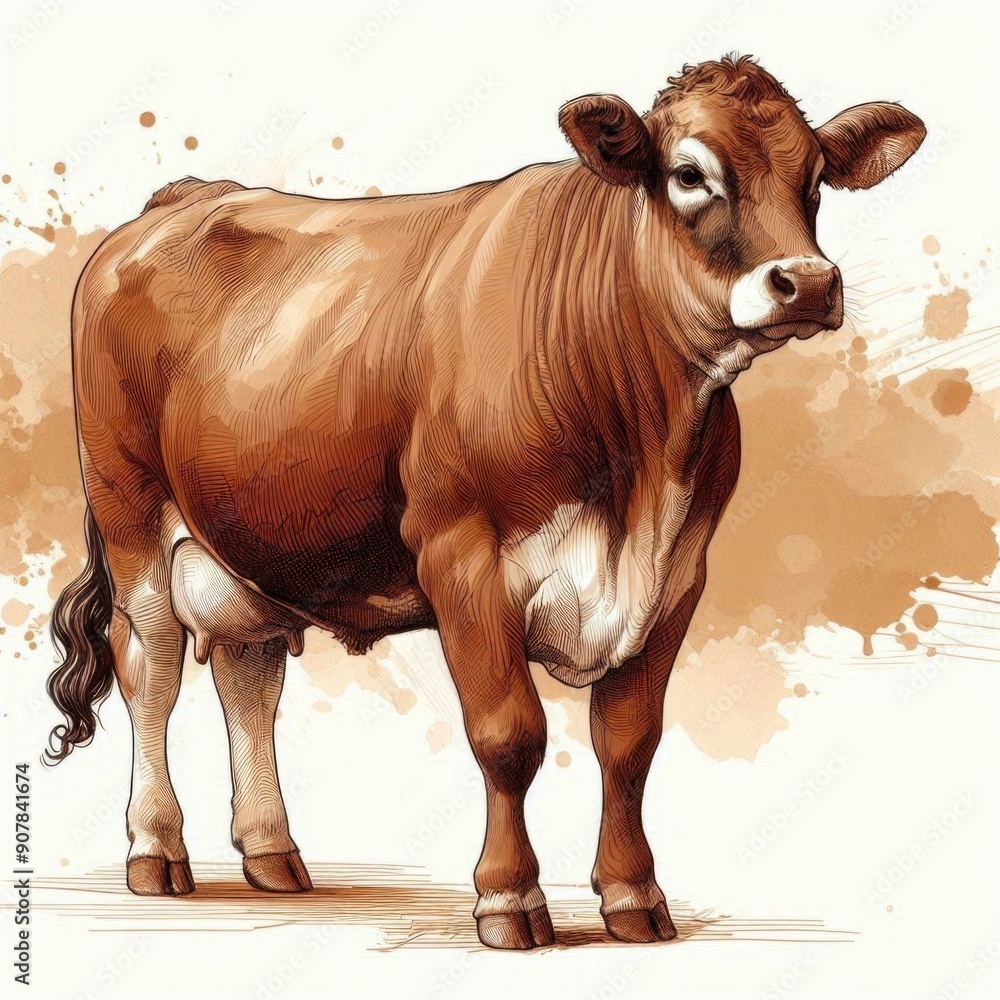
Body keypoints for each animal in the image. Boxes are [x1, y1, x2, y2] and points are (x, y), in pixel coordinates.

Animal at [47, 56, 925, 950]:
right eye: (689, 175)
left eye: (814, 178)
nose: (808, 282)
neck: (642, 461)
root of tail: (184, 198)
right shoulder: (462, 557)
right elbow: (509, 736)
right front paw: (509, 899)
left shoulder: (677, 577)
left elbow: (629, 745)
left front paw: (634, 897)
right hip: (131, 513)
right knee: (150, 670)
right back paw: (157, 850)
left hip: (248, 539)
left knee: (247, 675)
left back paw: (272, 852)